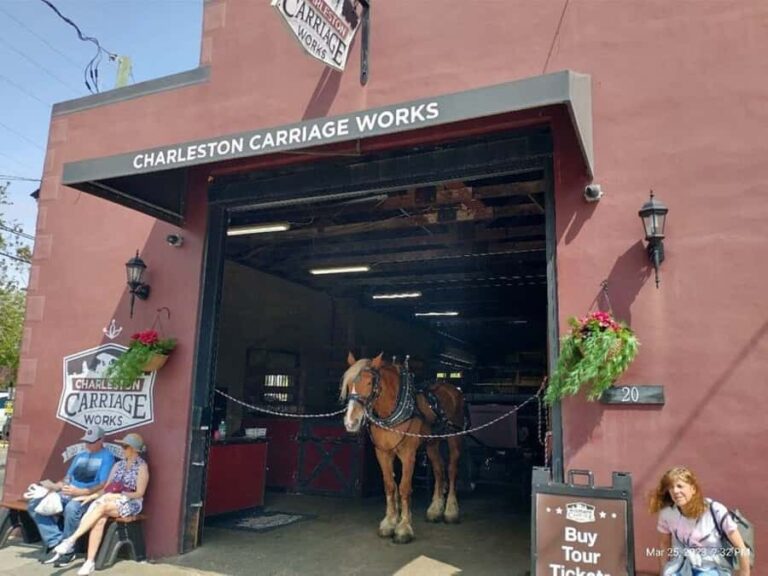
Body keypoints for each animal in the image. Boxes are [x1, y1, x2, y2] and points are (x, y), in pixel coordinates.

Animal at [340, 352, 465, 543]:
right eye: (349, 384)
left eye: (369, 383)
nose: (350, 422)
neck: (391, 411)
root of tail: (453, 389)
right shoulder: (382, 453)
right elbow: (390, 486)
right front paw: (389, 522)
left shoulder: (408, 454)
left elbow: (404, 488)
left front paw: (403, 528)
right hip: (432, 444)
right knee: (438, 470)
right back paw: (435, 510)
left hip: (454, 438)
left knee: (451, 470)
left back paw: (451, 511)